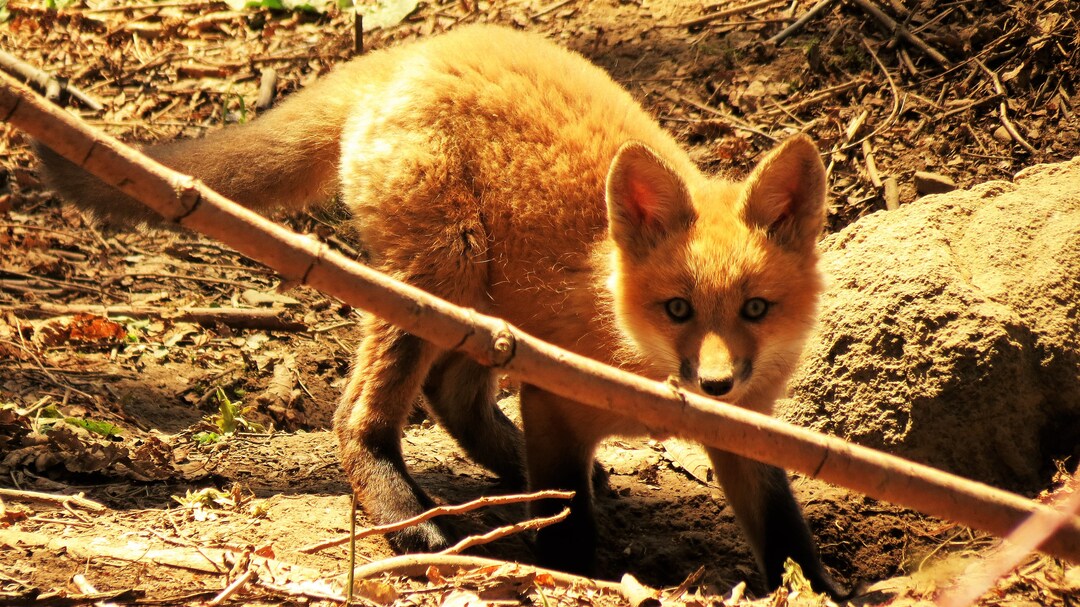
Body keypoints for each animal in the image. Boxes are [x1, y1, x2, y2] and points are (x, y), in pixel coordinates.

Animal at [35, 24, 838, 596]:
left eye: (756, 308)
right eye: (676, 308)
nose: (715, 386)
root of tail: (412, 50)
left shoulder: (751, 431)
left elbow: (785, 537)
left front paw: (817, 589)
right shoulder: (555, 399)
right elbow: (569, 523)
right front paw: (571, 571)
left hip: (481, 307)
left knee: (451, 392)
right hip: (438, 275)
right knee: (359, 414)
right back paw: (407, 512)